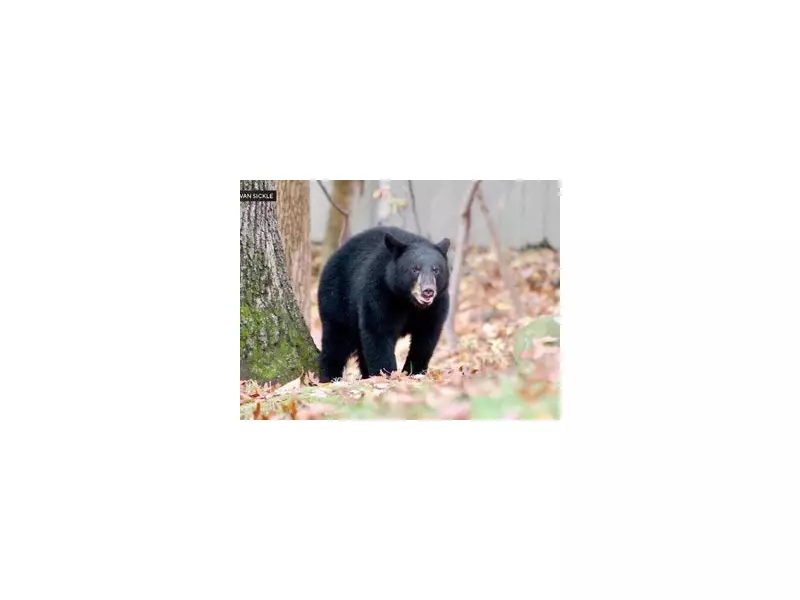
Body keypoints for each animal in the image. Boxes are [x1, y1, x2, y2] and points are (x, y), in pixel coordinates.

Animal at [317, 226, 451, 382]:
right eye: (414, 269)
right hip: (337, 299)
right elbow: (378, 331)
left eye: (436, 270)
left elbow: (425, 338)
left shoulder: (436, 306)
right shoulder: (380, 293)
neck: (409, 301)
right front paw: (387, 375)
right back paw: (329, 377)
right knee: (336, 342)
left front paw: (414, 372)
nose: (428, 291)